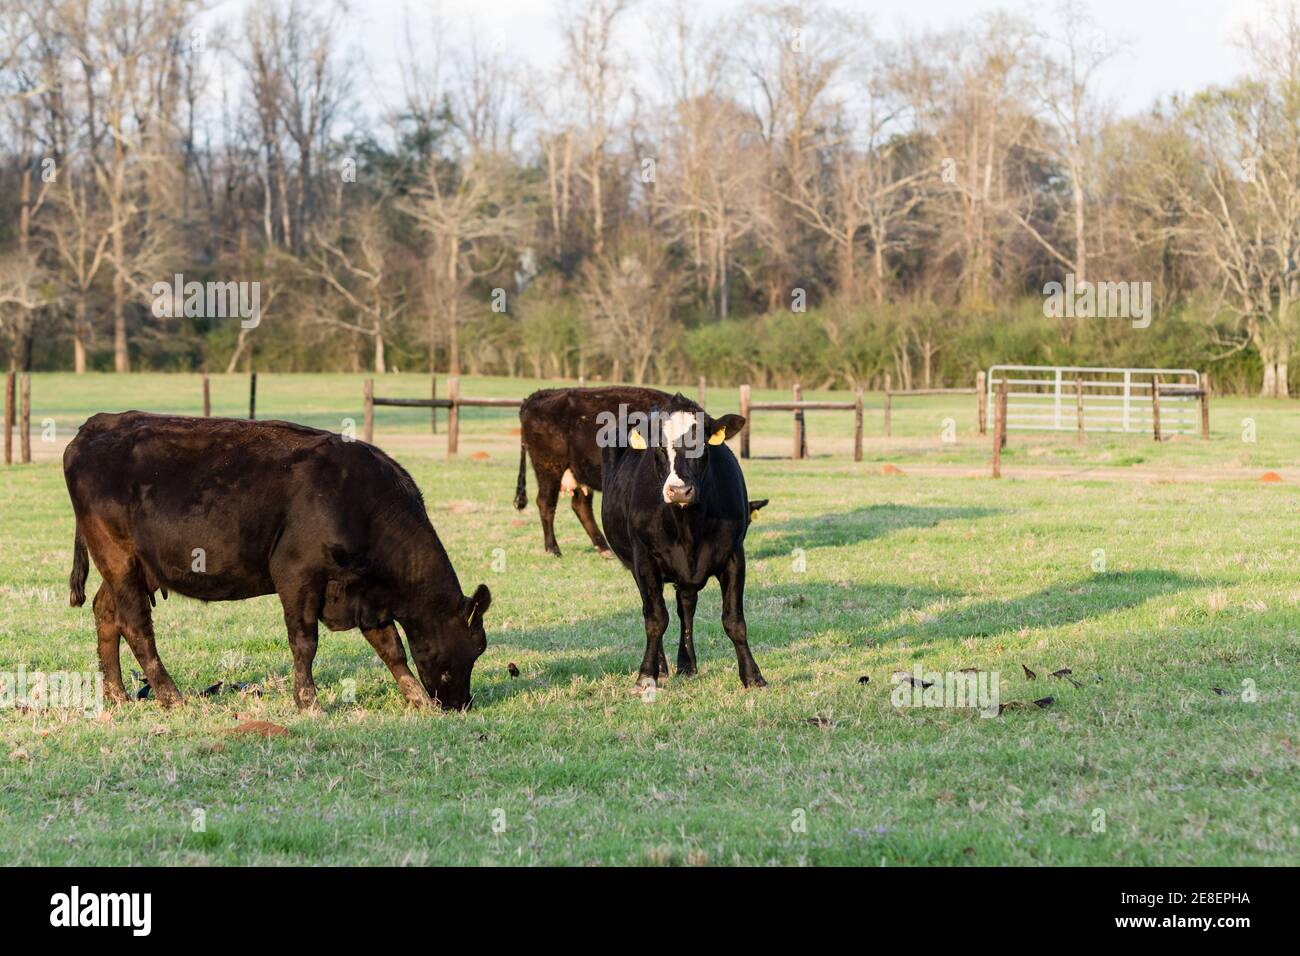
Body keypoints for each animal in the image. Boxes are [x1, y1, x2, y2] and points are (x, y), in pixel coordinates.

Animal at [63, 411, 491, 712]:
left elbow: (391, 647)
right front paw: (309, 702)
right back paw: (171, 696)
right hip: (117, 556)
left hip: (137, 566)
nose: (461, 704)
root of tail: (97, 424)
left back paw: (117, 694)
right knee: (136, 626)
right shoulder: (296, 574)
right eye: (477, 647)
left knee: (107, 612)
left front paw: (415, 697)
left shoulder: (364, 593)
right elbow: (304, 642)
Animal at [514, 386, 671, 557]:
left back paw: (604, 548)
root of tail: (541, 394)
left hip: (577, 473)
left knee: (580, 506)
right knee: (546, 503)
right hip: (549, 468)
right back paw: (553, 549)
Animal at [599, 393, 767, 692]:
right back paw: (662, 667)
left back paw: (687, 663)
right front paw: (646, 675)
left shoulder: (734, 556)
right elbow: (655, 619)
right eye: (657, 446)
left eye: (702, 442)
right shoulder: (644, 560)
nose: (679, 490)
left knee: (686, 607)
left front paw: (752, 676)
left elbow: (734, 620)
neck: (689, 527)